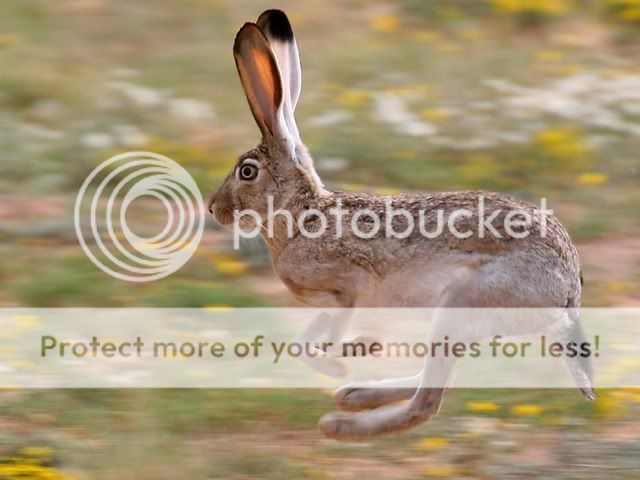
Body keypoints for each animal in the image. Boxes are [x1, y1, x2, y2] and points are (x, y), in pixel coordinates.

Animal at [207, 9, 595, 440]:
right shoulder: (329, 302)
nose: (213, 209)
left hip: (461, 305)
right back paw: (356, 394)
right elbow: (303, 341)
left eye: (247, 171)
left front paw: (343, 359)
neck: (301, 215)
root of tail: (568, 293)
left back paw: (342, 424)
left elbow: (319, 339)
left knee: (428, 402)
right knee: (441, 382)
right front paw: (357, 350)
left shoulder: (349, 288)